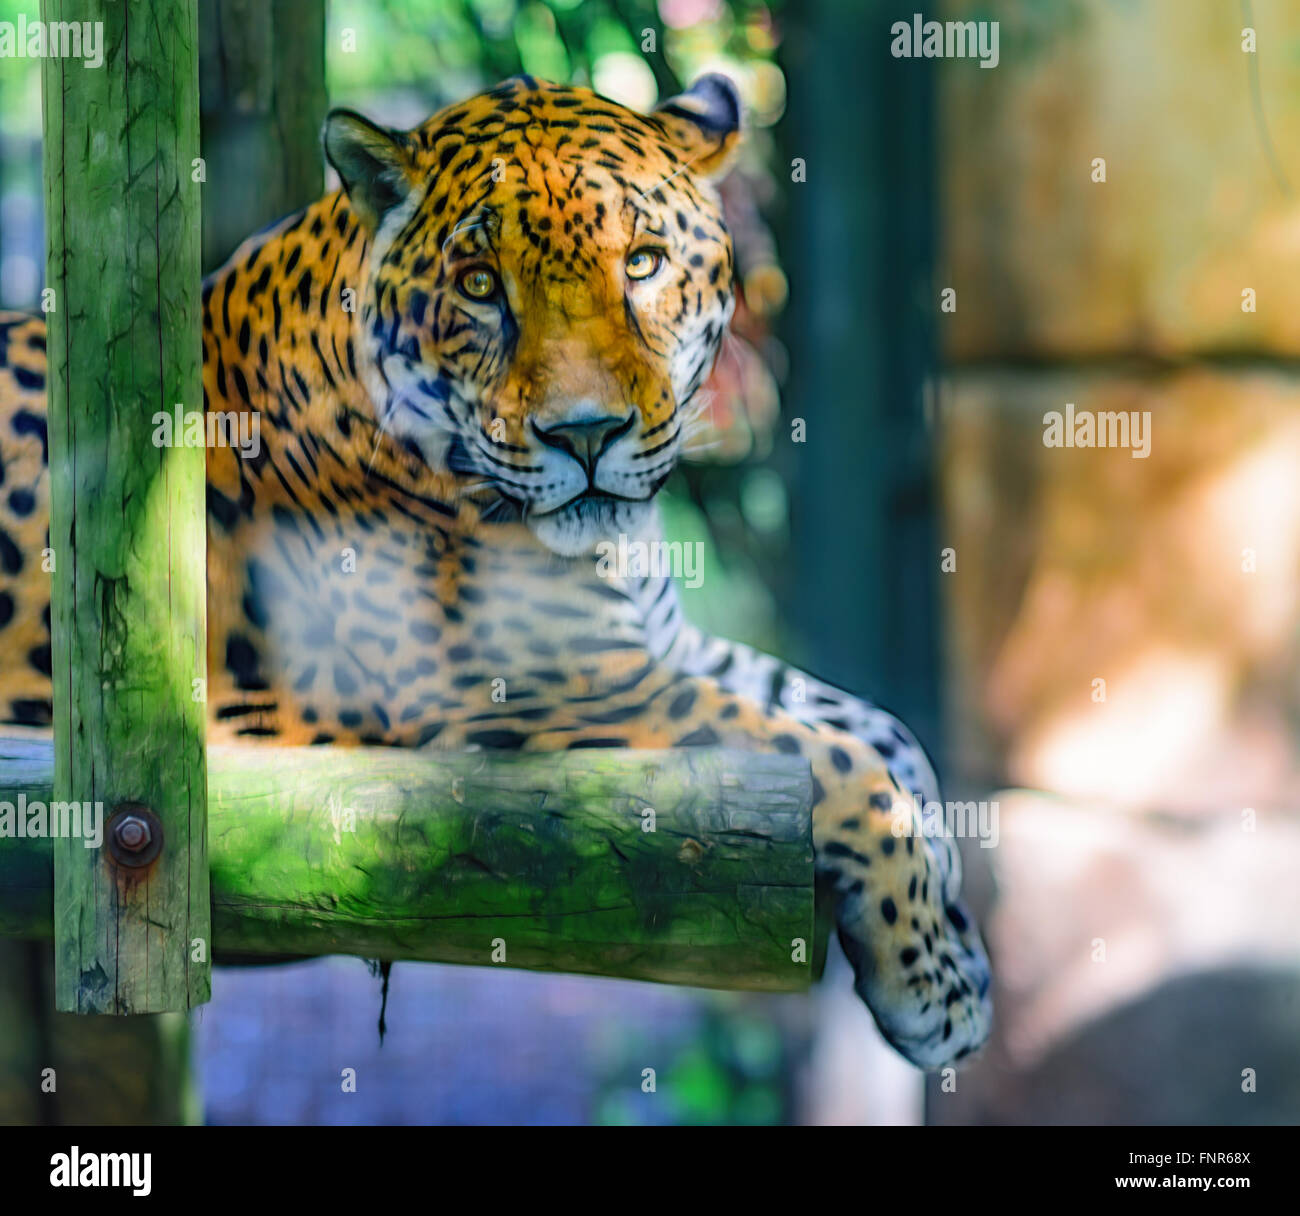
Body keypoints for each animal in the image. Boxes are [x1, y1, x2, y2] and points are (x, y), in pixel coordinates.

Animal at [0, 74, 991, 1069]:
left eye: (643, 263)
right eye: (479, 285)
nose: (586, 434)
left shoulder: (656, 648)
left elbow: (885, 730)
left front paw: (957, 933)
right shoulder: (556, 688)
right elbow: (840, 757)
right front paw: (934, 984)